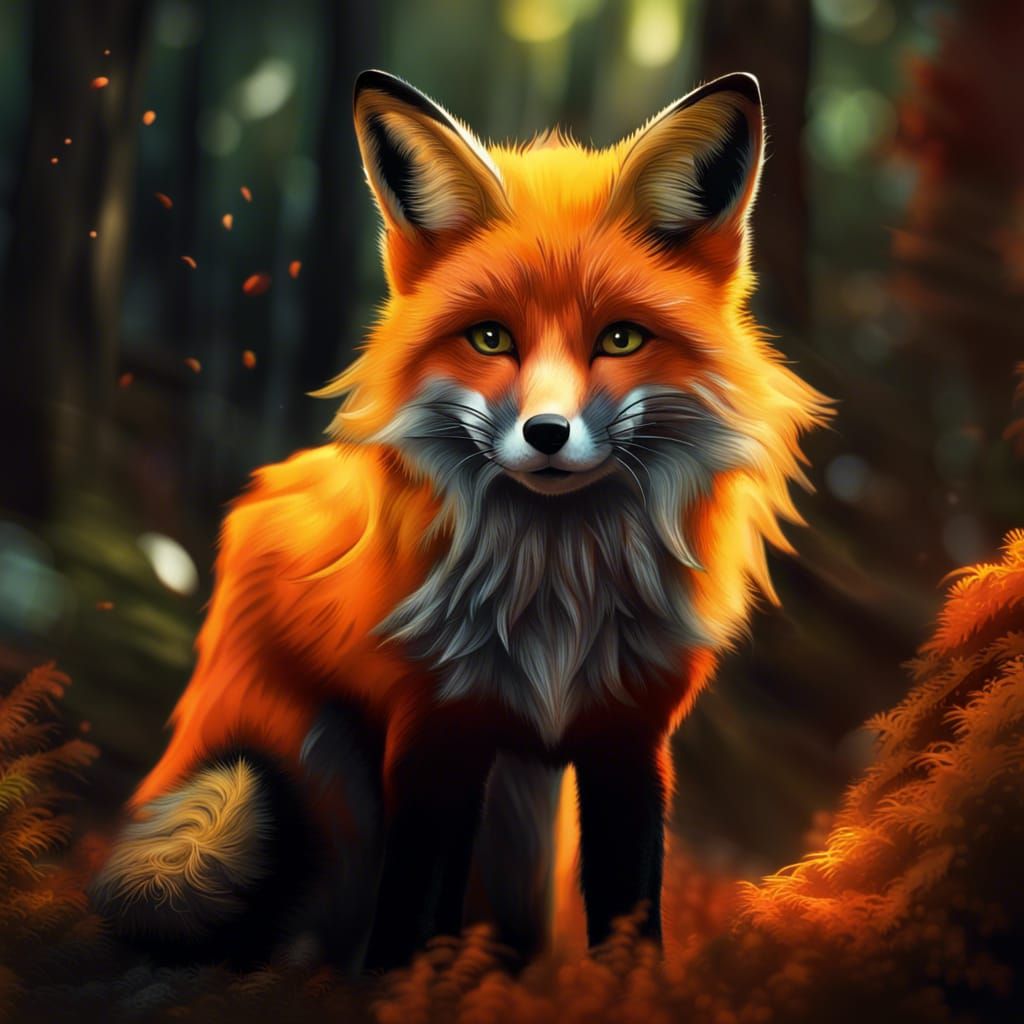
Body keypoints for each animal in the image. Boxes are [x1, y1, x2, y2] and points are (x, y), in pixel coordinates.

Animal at [91, 69, 827, 971]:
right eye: (490, 338)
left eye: (620, 339)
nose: (546, 434)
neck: (557, 601)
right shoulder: (434, 731)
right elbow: (408, 915)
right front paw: (398, 985)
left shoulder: (629, 740)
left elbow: (629, 912)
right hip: (296, 774)